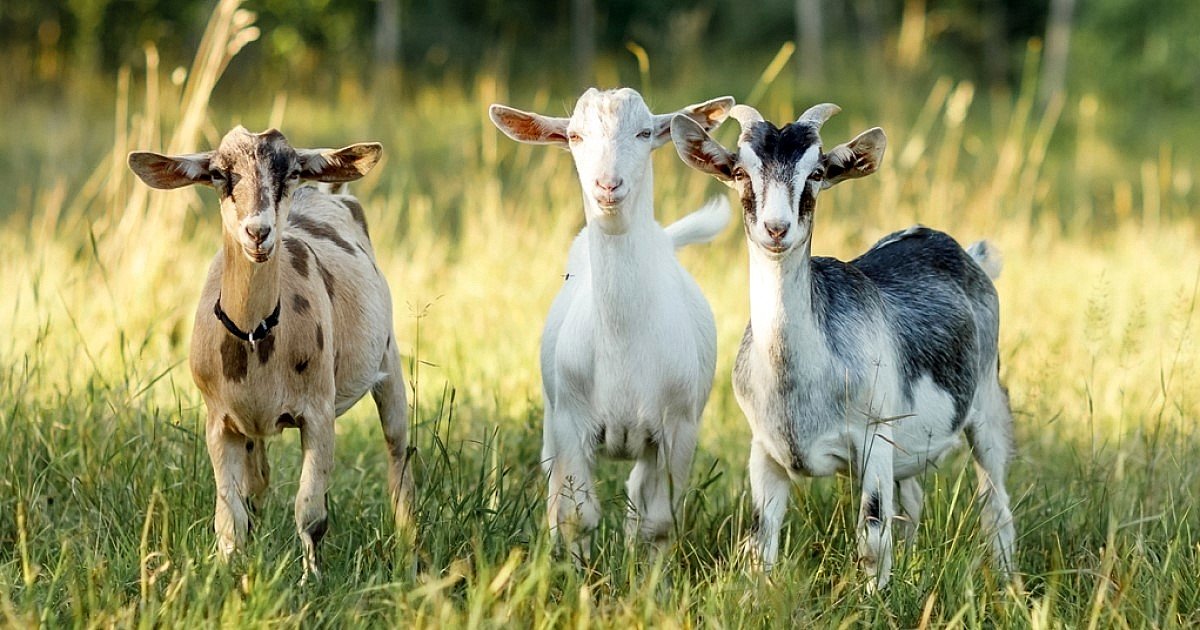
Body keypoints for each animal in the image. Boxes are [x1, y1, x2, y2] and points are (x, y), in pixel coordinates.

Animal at [128, 127, 412, 581]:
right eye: (217, 174)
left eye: (292, 170)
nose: (257, 231)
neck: (254, 337)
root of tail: (331, 192)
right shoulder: (219, 420)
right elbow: (230, 514)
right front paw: (229, 572)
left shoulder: (318, 411)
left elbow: (311, 511)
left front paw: (311, 579)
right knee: (257, 480)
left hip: (389, 361)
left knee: (398, 450)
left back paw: (408, 545)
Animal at [489, 88, 734, 556]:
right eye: (574, 136)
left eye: (645, 133)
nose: (607, 185)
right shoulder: (569, 421)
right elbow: (575, 516)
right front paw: (576, 573)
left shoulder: (678, 427)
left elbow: (659, 521)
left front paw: (650, 575)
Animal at [671, 104, 1016, 589]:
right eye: (739, 172)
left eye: (816, 173)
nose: (776, 229)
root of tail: (966, 252)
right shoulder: (764, 449)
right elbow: (761, 539)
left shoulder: (874, 436)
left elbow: (871, 537)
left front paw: (874, 597)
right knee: (911, 502)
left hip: (986, 402)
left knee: (995, 502)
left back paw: (1007, 583)